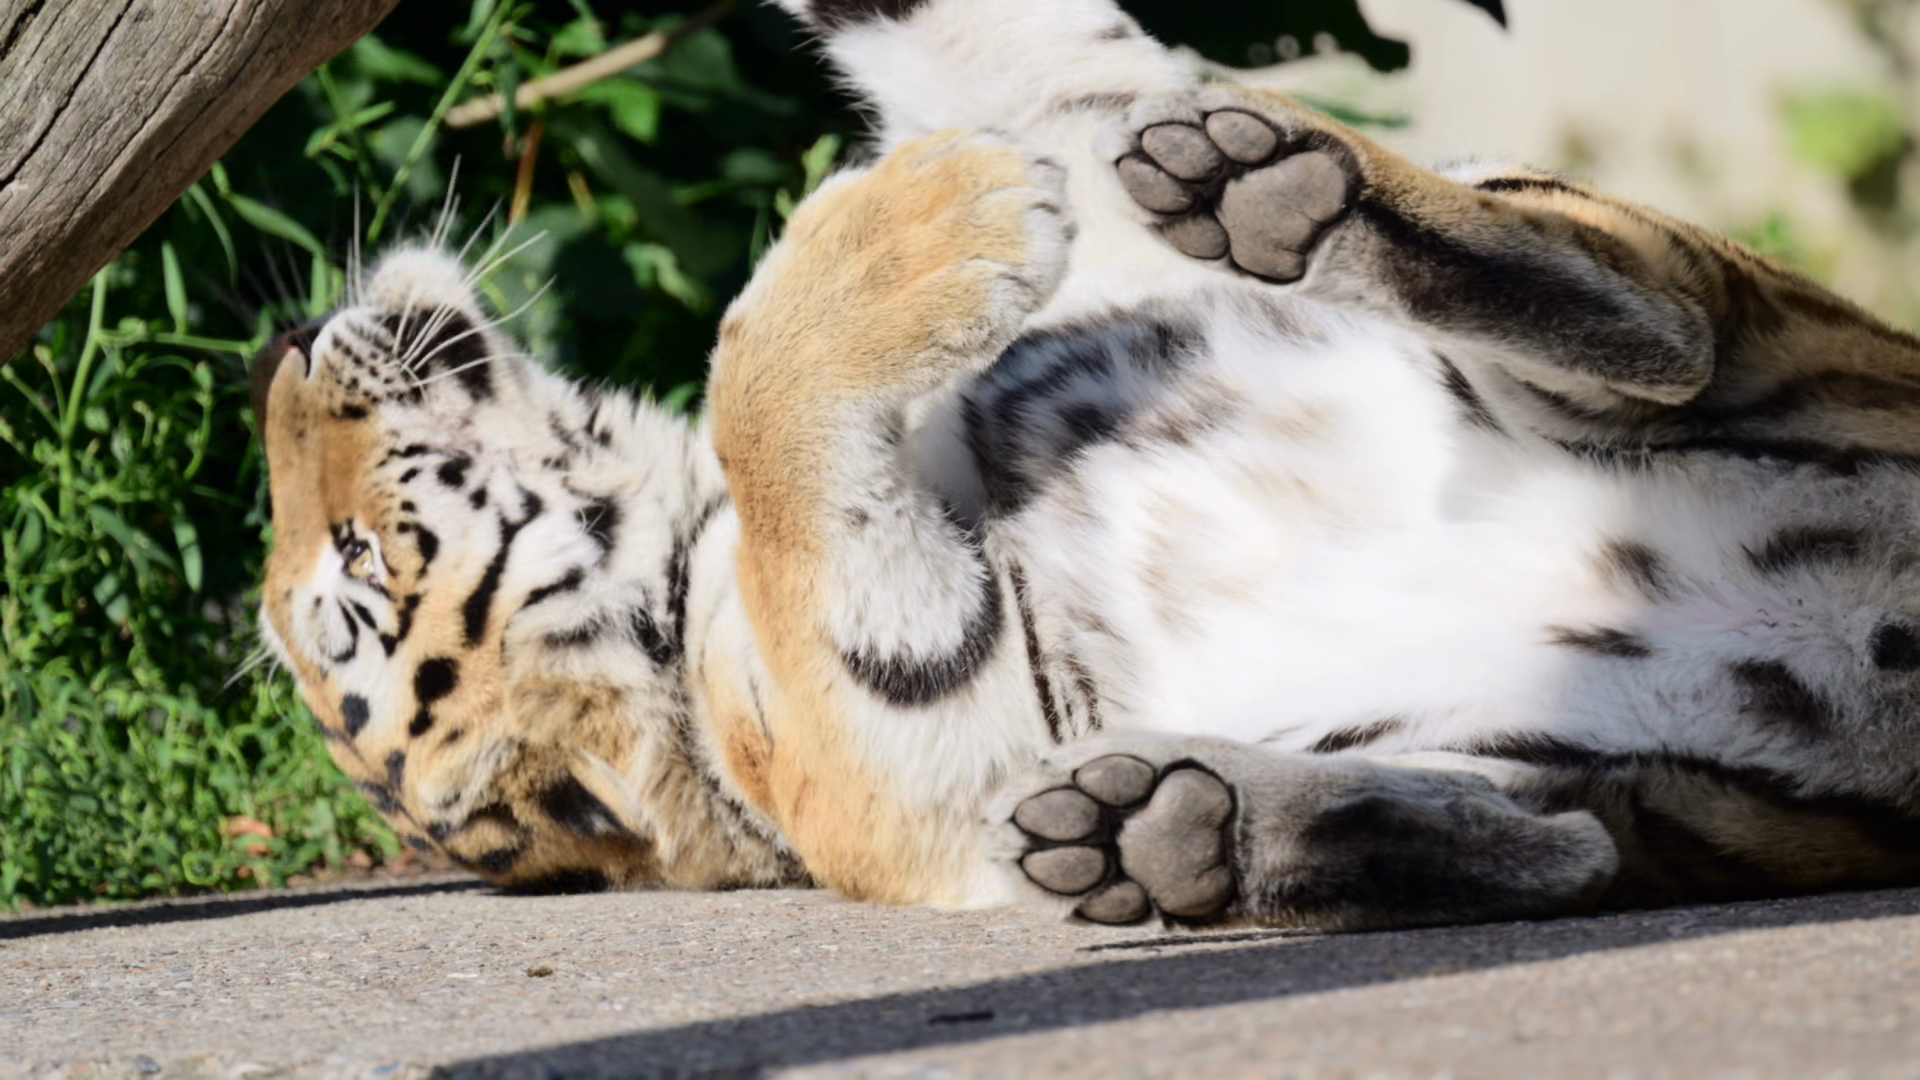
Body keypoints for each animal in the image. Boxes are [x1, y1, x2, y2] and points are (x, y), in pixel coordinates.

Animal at [256, 0, 1920, 930]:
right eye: (357, 577)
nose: (283, 342)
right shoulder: (918, 748)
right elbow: (754, 403)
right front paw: (928, 215)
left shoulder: (1081, 105)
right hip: (1583, 746)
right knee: (1577, 825)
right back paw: (1175, 833)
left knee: (1647, 324)